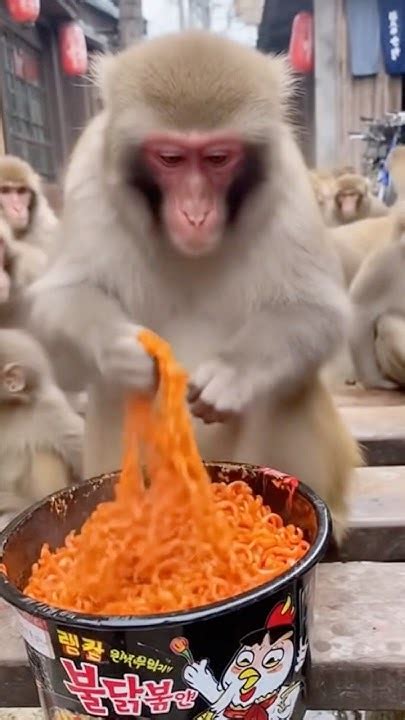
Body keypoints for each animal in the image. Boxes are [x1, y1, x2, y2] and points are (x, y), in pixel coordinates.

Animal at [24, 31, 360, 543]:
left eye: (218, 158)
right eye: (171, 158)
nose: (196, 212)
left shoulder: (288, 181)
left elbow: (317, 309)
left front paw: (235, 373)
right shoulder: (88, 179)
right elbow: (60, 304)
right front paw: (123, 349)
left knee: (290, 388)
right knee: (116, 388)